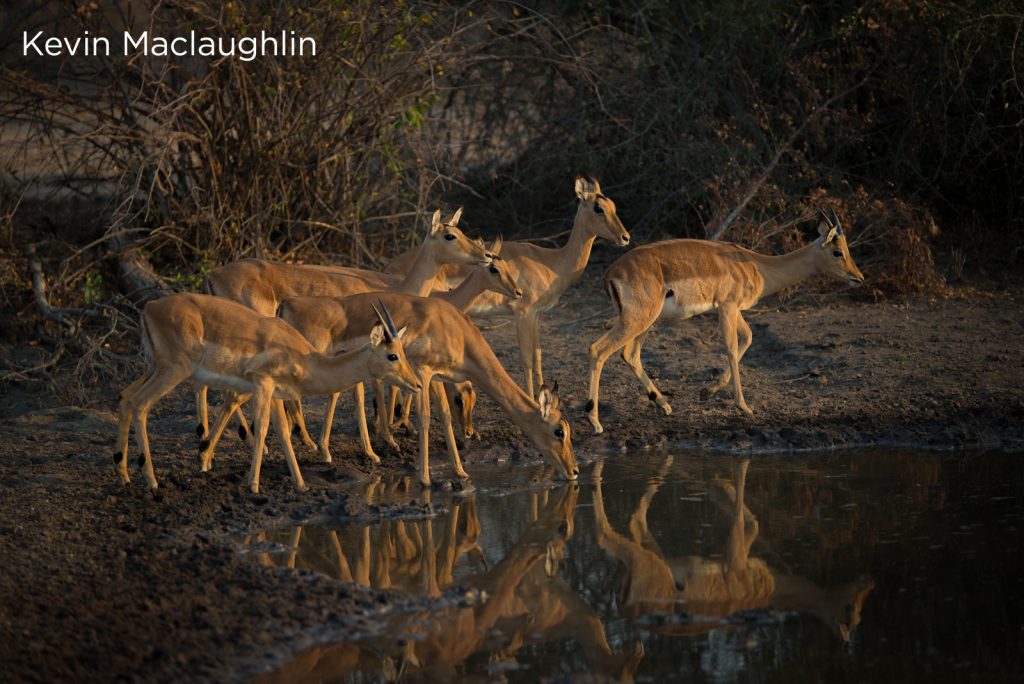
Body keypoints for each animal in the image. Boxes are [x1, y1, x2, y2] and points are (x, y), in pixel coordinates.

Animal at [115, 294, 420, 494]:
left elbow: (283, 432)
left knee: (126, 397)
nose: (416, 384)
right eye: (392, 355)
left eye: (402, 353)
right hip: (173, 370)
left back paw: (125, 475)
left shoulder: (274, 392)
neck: (303, 357)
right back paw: (152, 480)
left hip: (154, 367)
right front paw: (253, 484)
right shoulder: (262, 383)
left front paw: (300, 484)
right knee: (140, 405)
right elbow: (262, 429)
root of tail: (150, 307)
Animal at [195, 208, 490, 442]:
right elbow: (377, 387)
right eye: (450, 235)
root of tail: (212, 275)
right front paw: (388, 435)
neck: (392, 289)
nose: (486, 254)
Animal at [386, 175, 631, 399]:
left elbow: (538, 356)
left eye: (613, 205)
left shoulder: (537, 315)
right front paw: (533, 399)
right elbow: (527, 359)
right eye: (598, 207)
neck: (551, 263)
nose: (625, 237)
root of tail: (392, 266)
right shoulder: (523, 313)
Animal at [585, 212, 864, 433]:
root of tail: (611, 273)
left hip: (645, 321)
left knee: (630, 354)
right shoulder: (728, 307)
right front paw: (744, 407)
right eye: (837, 251)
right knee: (598, 350)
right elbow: (731, 348)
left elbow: (748, 337)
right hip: (638, 319)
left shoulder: (733, 308)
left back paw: (664, 405)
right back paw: (595, 421)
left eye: (847, 250)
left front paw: (707, 392)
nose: (858, 278)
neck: (758, 266)